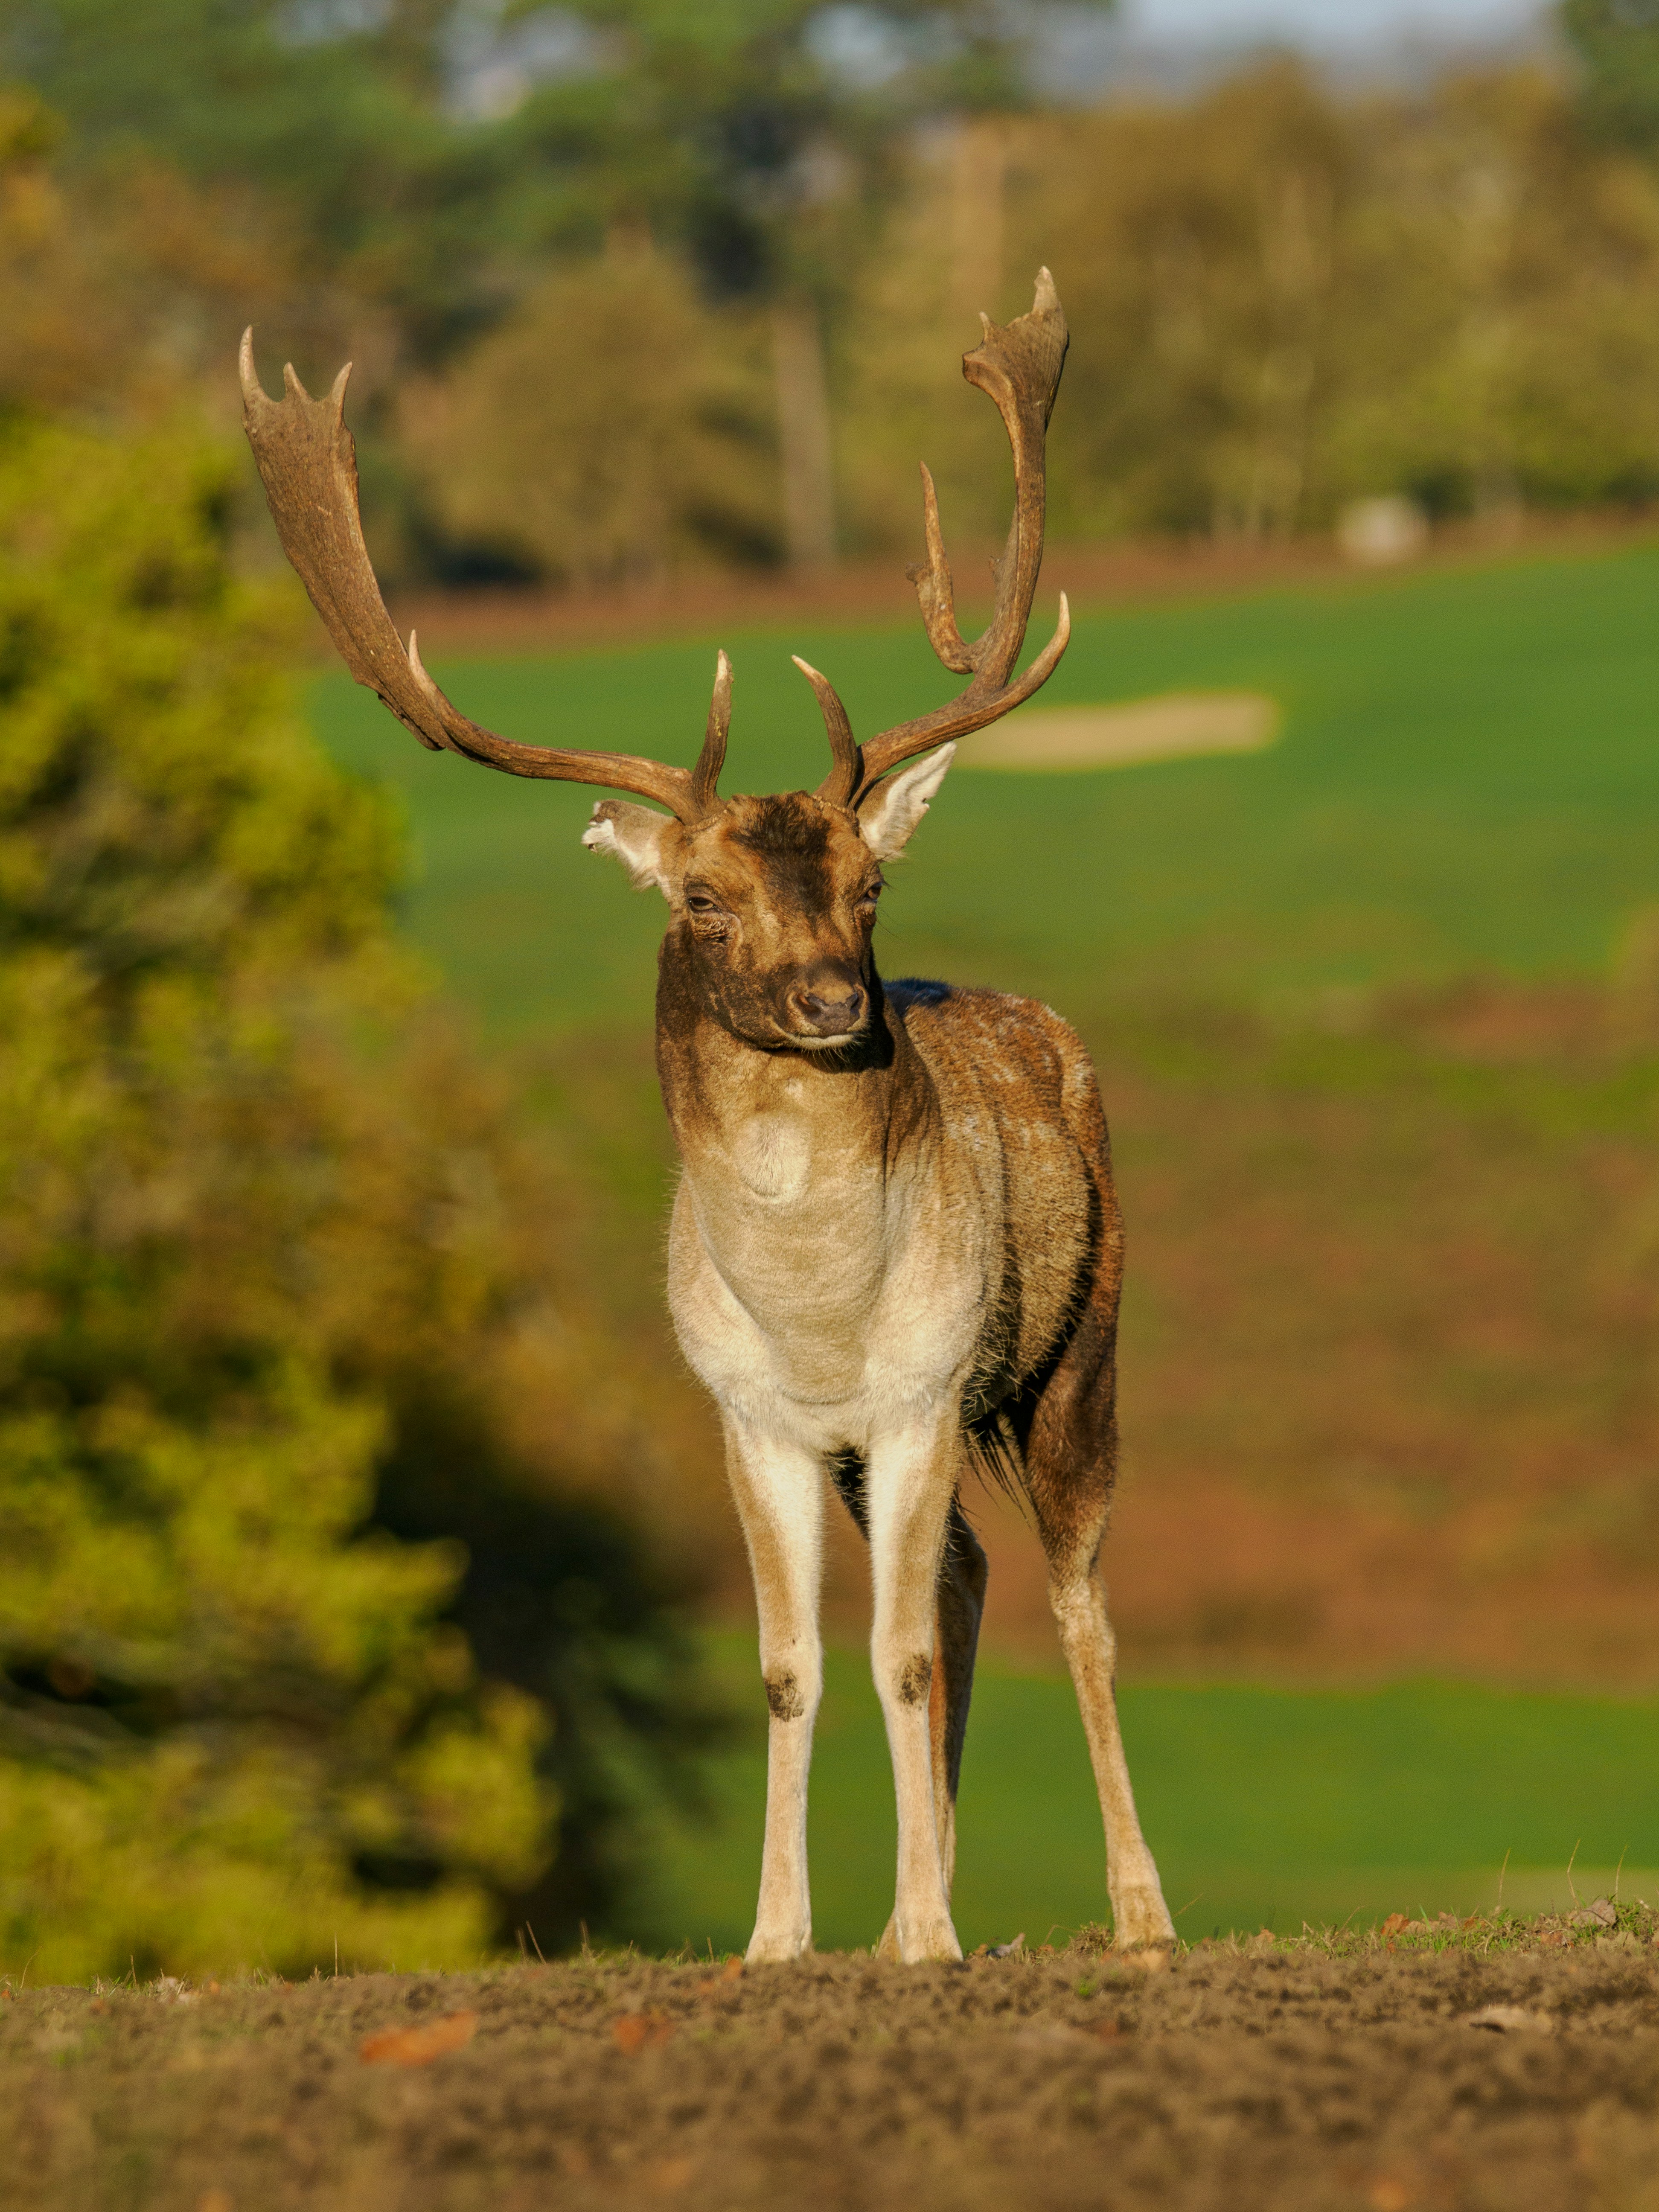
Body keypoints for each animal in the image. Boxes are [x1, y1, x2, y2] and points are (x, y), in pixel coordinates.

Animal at [240, 268, 1176, 1964]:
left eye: (868, 884)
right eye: (700, 897)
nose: (831, 1002)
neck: (815, 1309)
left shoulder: (923, 1382)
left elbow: (895, 1656)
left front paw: (921, 1931)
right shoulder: (752, 1412)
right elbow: (796, 1665)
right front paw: (784, 1936)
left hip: (1078, 1349)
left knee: (1075, 1594)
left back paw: (1134, 1910)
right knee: (964, 1577)